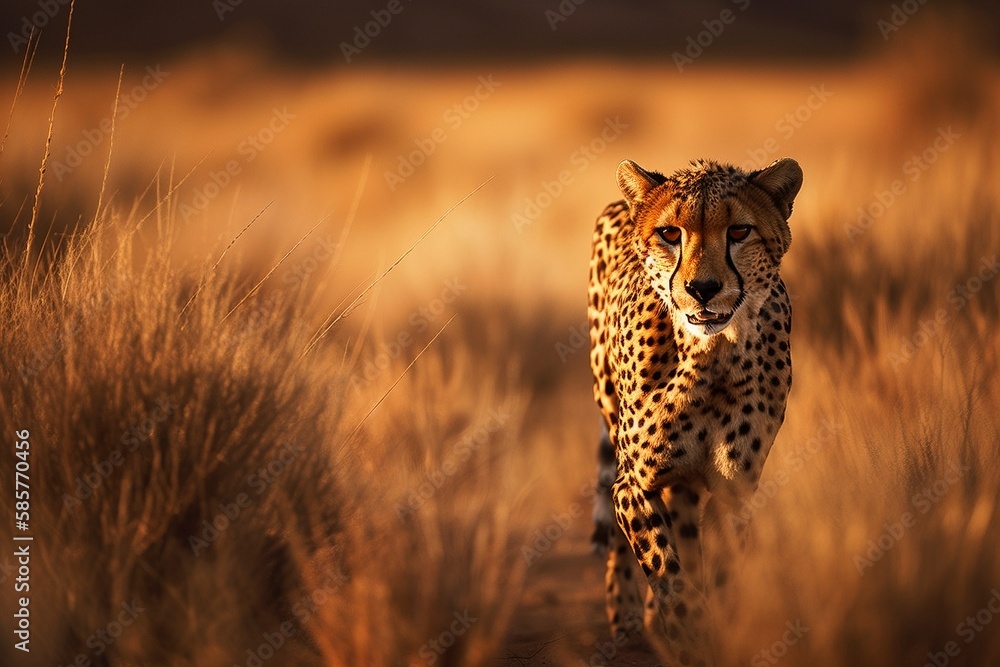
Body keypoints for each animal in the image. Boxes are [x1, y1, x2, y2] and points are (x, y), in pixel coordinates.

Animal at [587, 157, 802, 666]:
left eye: (739, 231)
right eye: (670, 233)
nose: (703, 288)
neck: (710, 357)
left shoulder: (733, 491)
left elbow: (718, 576)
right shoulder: (634, 484)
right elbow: (667, 573)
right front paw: (686, 634)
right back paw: (626, 612)